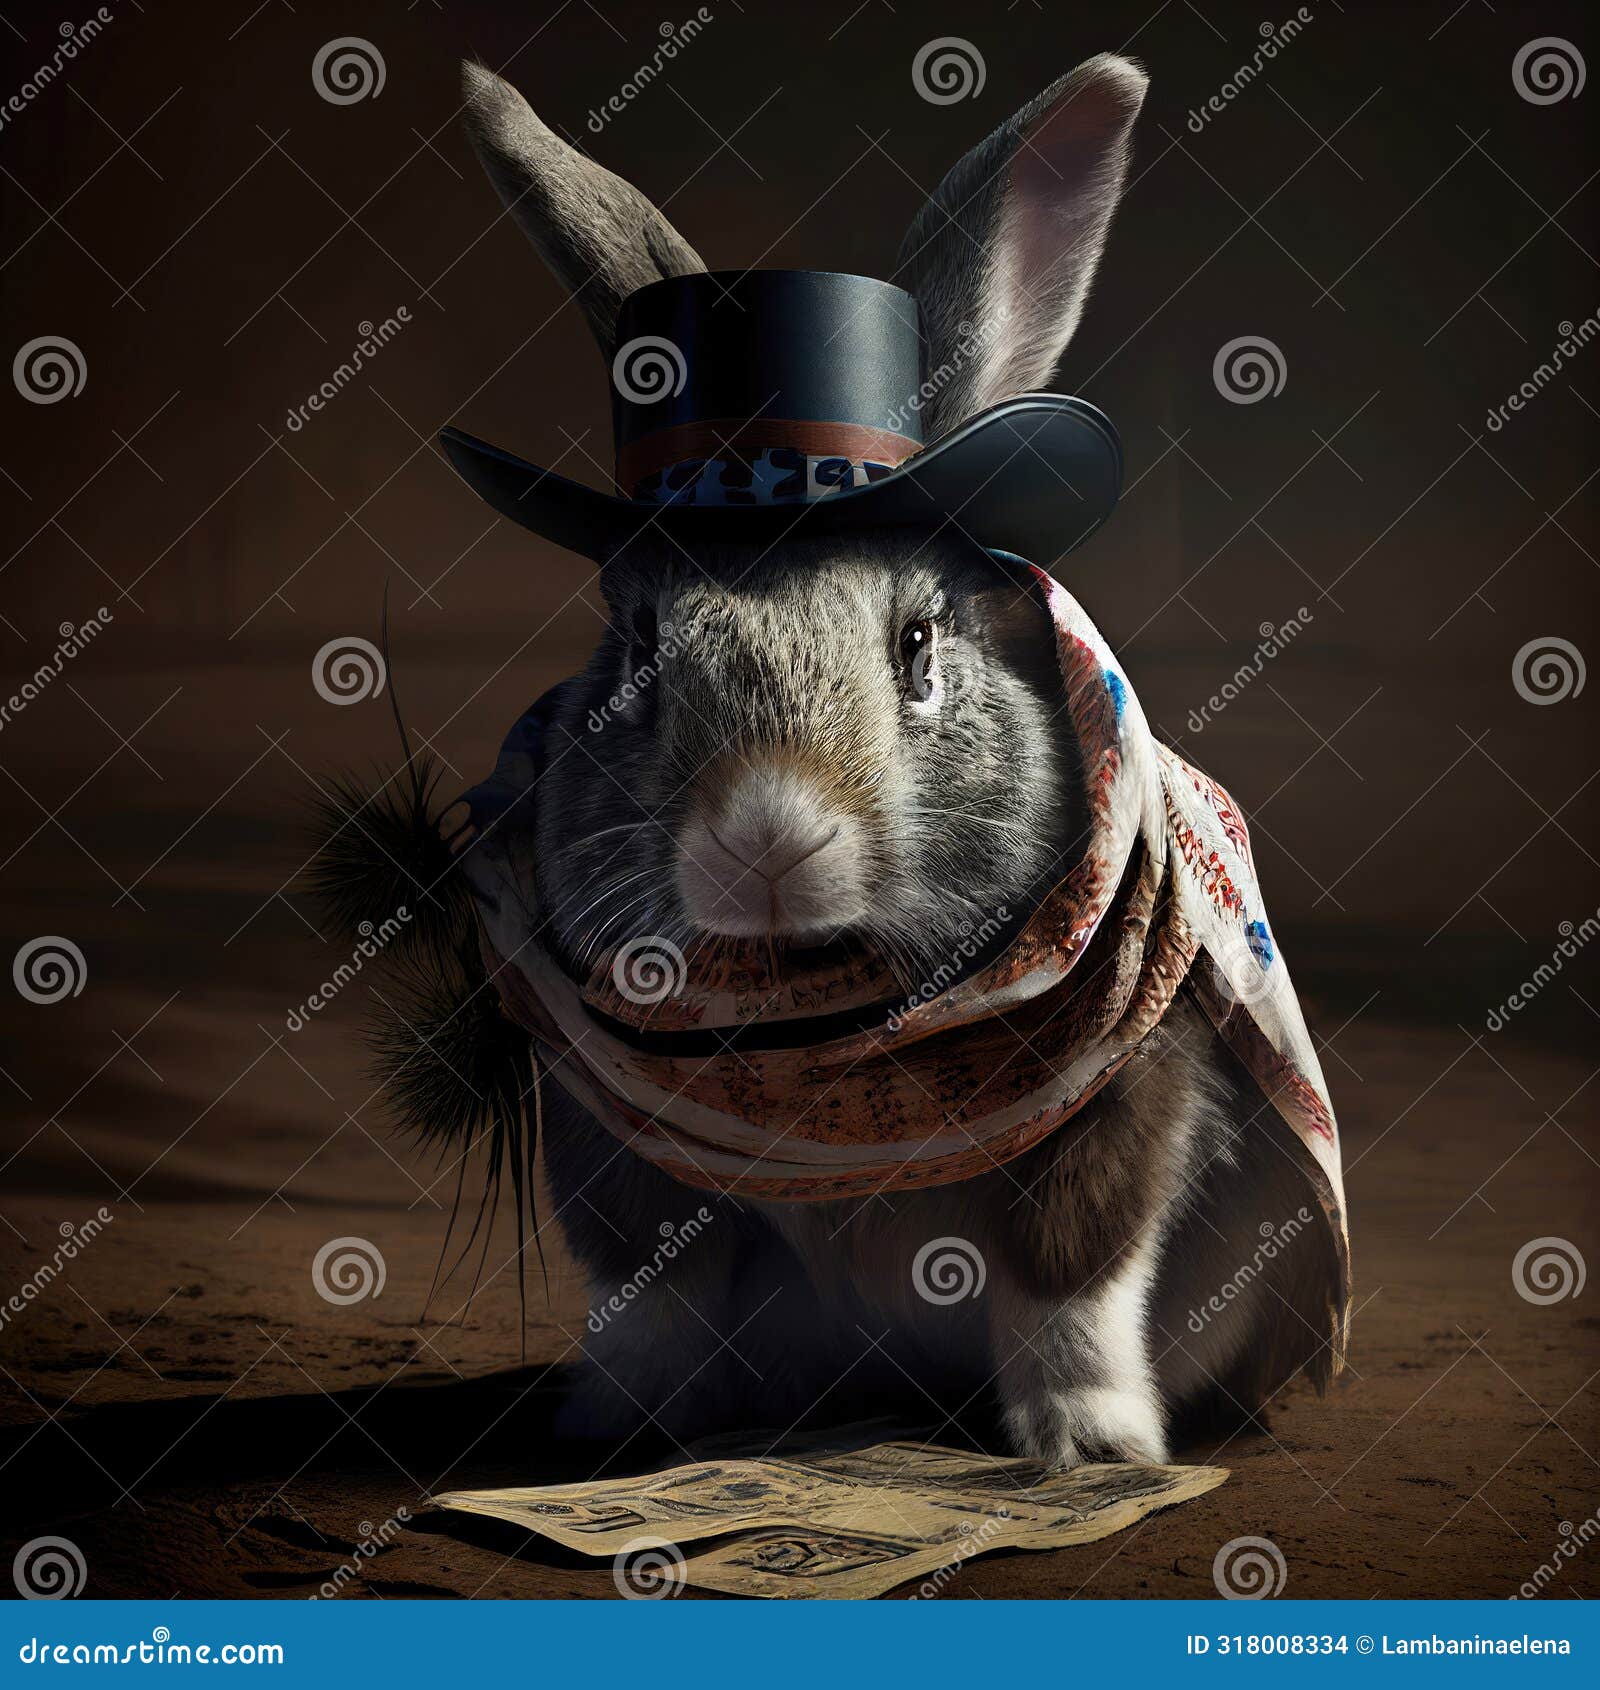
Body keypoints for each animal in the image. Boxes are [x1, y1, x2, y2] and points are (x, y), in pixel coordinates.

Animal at [456, 54, 1341, 1466]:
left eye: (919, 644)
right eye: (636, 646)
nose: (765, 839)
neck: (821, 1019)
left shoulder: (1123, 1095)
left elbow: (1071, 1274)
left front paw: (1089, 1448)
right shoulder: (613, 1141)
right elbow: (647, 1287)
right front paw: (618, 1434)